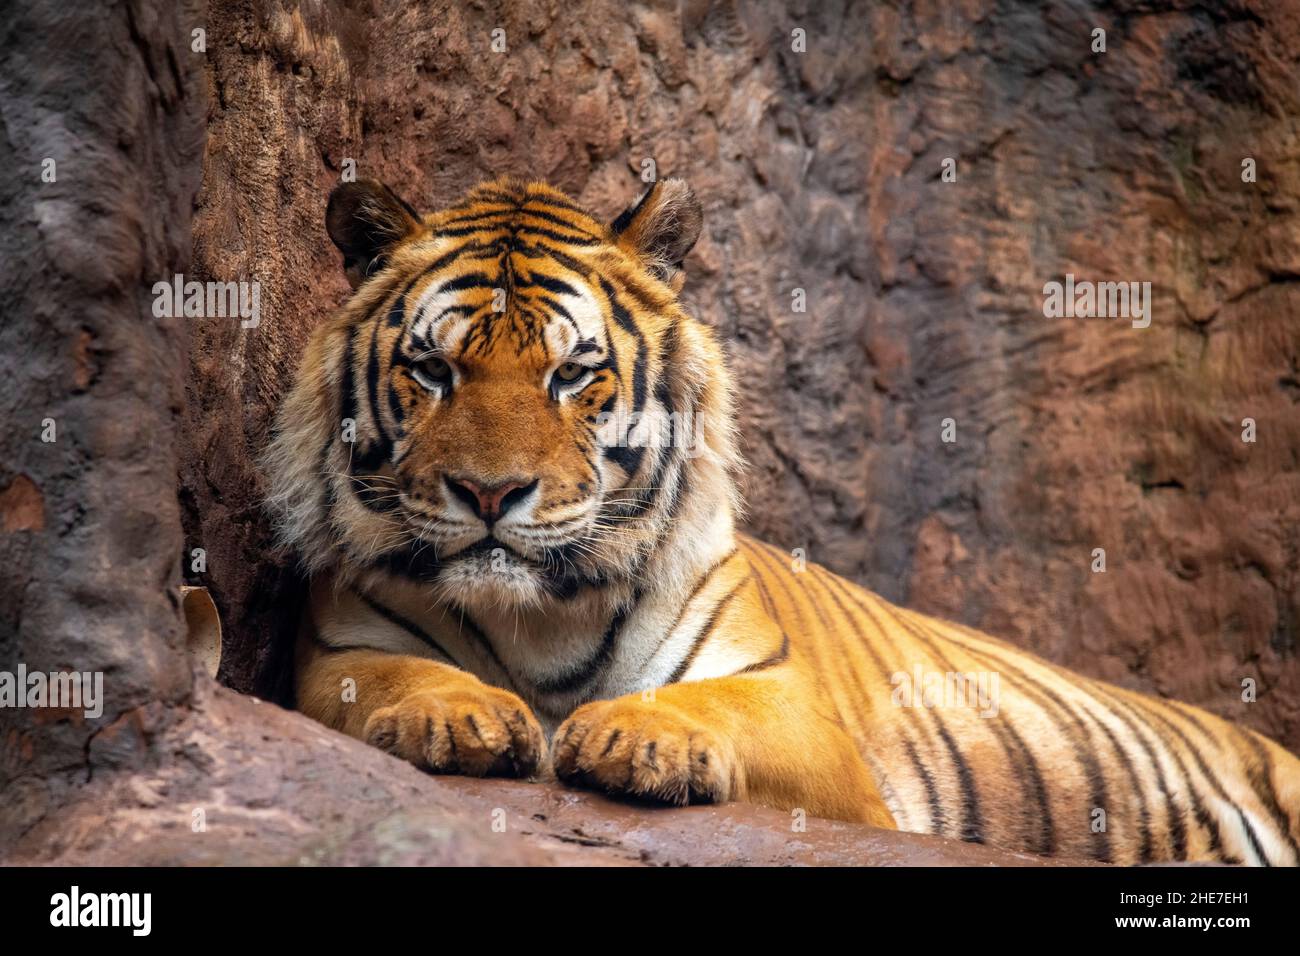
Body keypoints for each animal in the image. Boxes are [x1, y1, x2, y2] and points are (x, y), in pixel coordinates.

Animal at [263, 173, 1300, 865]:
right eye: (433, 369)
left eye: (572, 373)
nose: (489, 494)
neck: (539, 620)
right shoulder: (337, 650)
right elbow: (397, 673)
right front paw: (460, 714)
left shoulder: (795, 705)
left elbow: (707, 702)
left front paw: (635, 739)